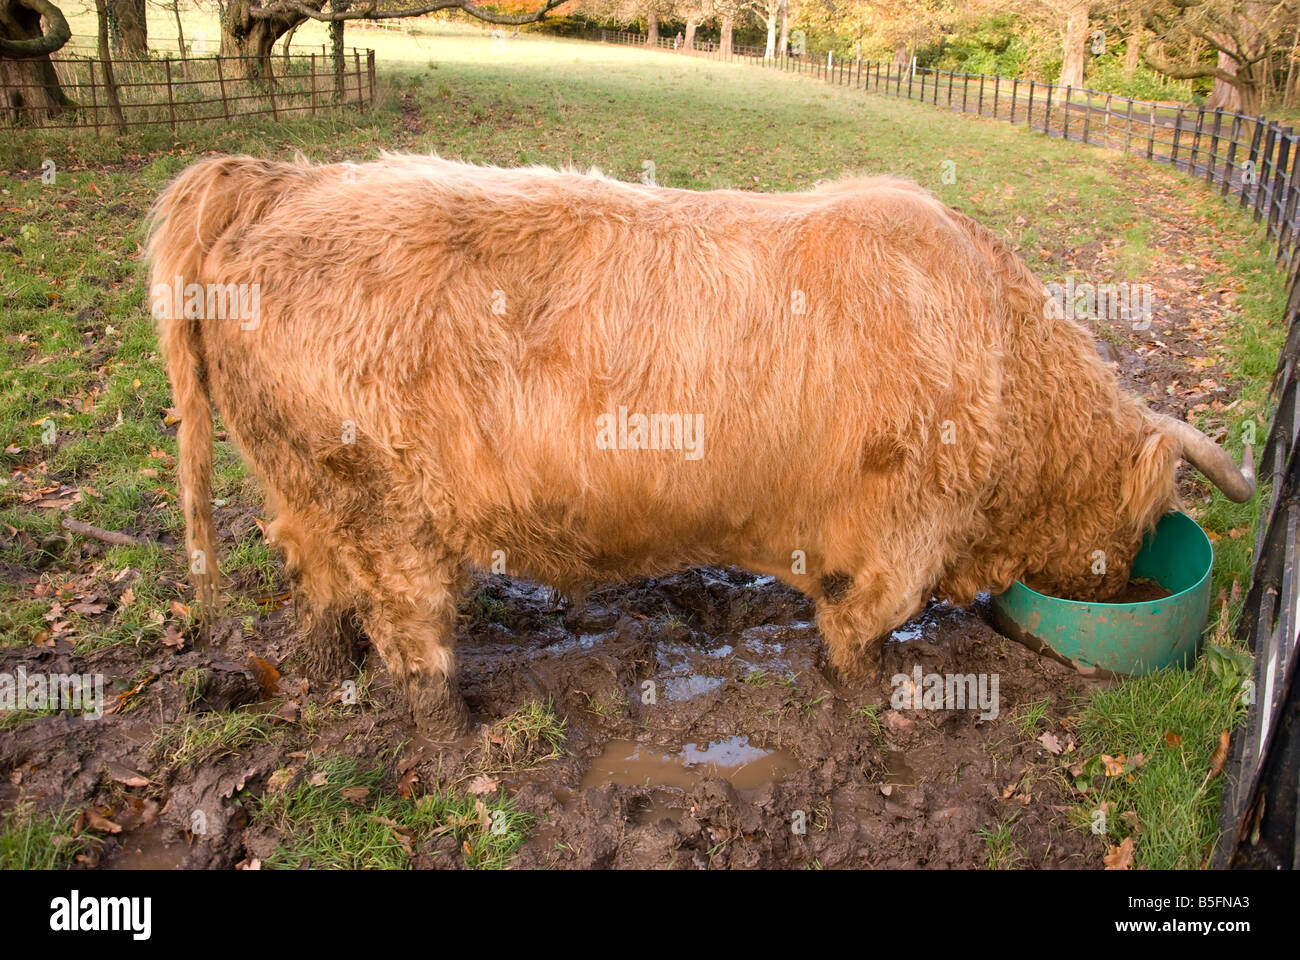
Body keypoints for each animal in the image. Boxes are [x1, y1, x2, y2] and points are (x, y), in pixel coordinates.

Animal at [148, 154, 1254, 737]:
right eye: (1140, 528)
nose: (1125, 583)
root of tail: (276, 179)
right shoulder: (899, 534)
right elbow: (866, 622)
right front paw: (870, 693)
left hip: (308, 493)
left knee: (315, 573)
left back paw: (323, 660)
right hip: (386, 512)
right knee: (407, 627)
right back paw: (463, 731)